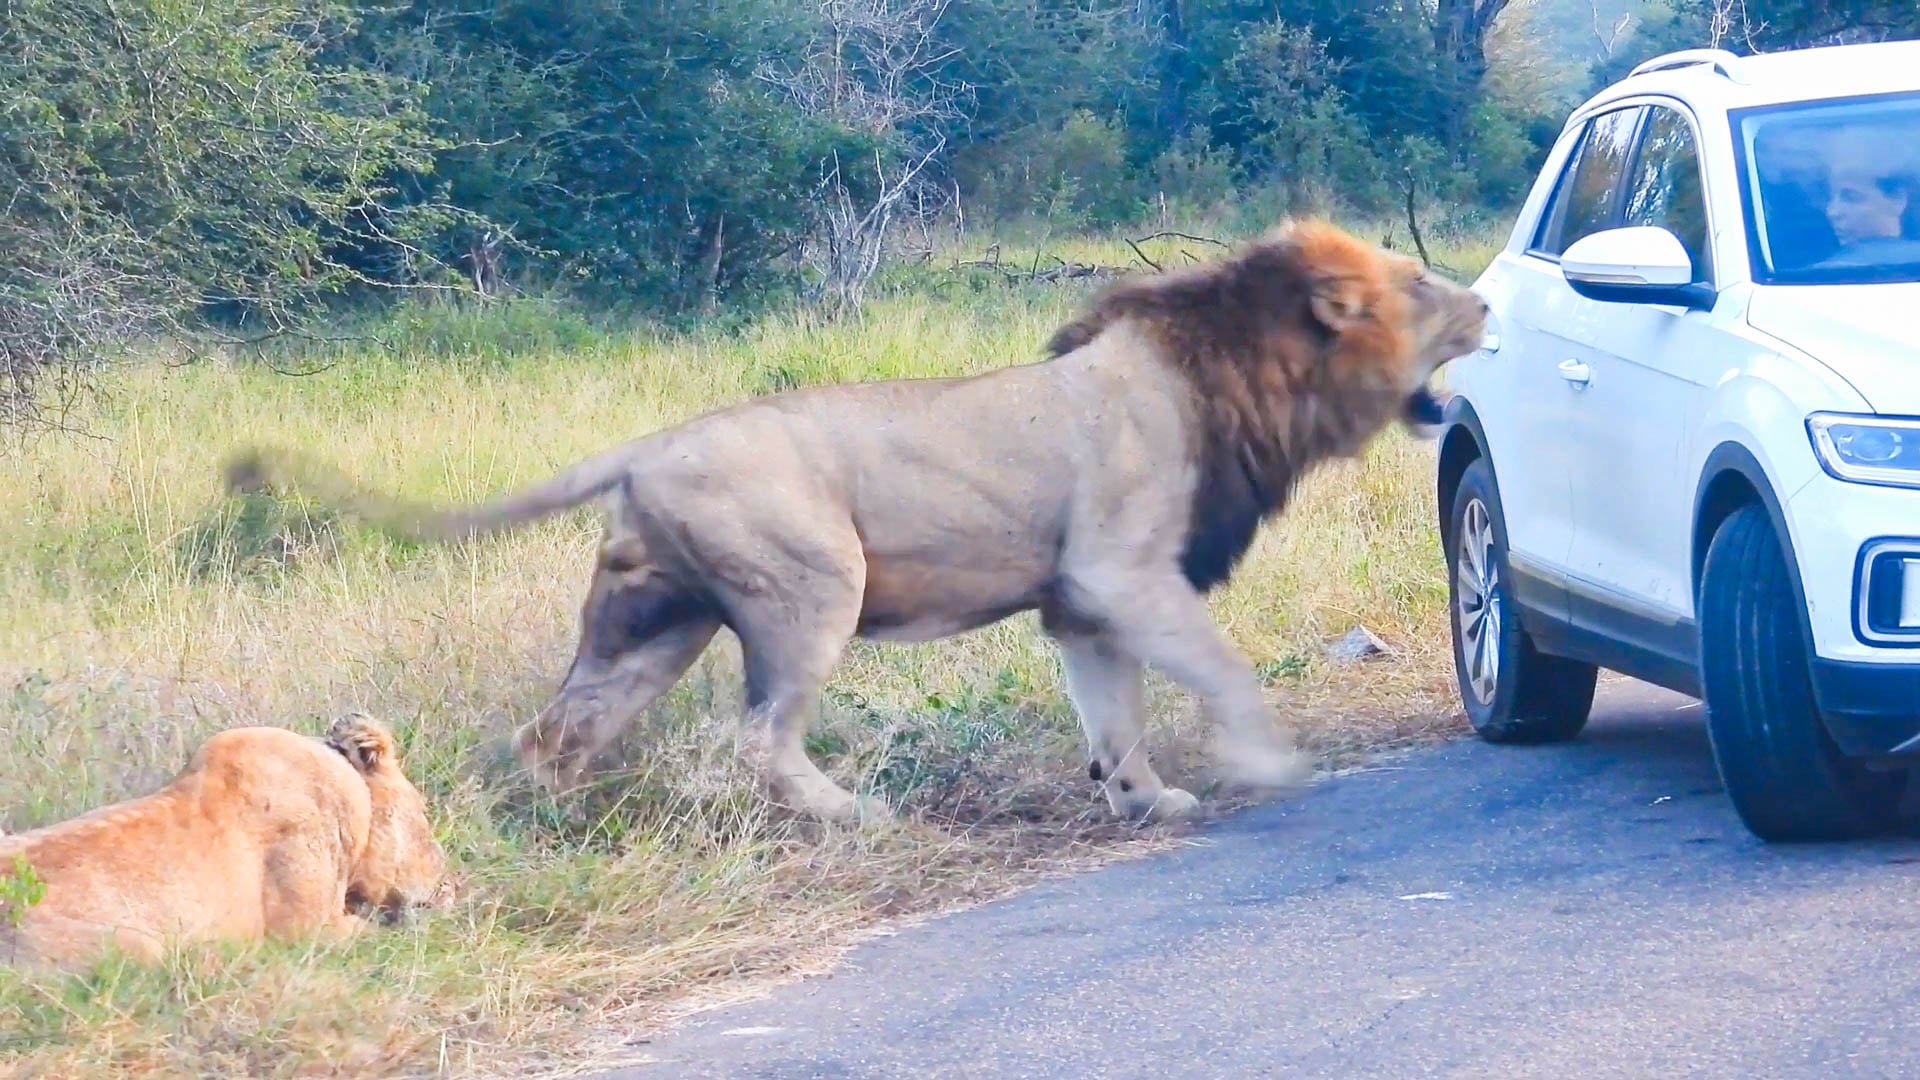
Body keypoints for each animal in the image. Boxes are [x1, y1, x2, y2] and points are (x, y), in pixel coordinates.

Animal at [220, 218, 1487, 826]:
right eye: (1421, 287)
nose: (1482, 300)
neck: (1242, 376)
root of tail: (645, 445)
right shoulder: (1122, 571)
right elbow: (1223, 670)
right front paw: (1268, 763)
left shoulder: (1079, 607)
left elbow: (1114, 715)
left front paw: (1143, 798)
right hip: (810, 587)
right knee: (758, 741)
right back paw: (854, 815)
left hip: (653, 622)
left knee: (556, 734)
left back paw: (557, 832)